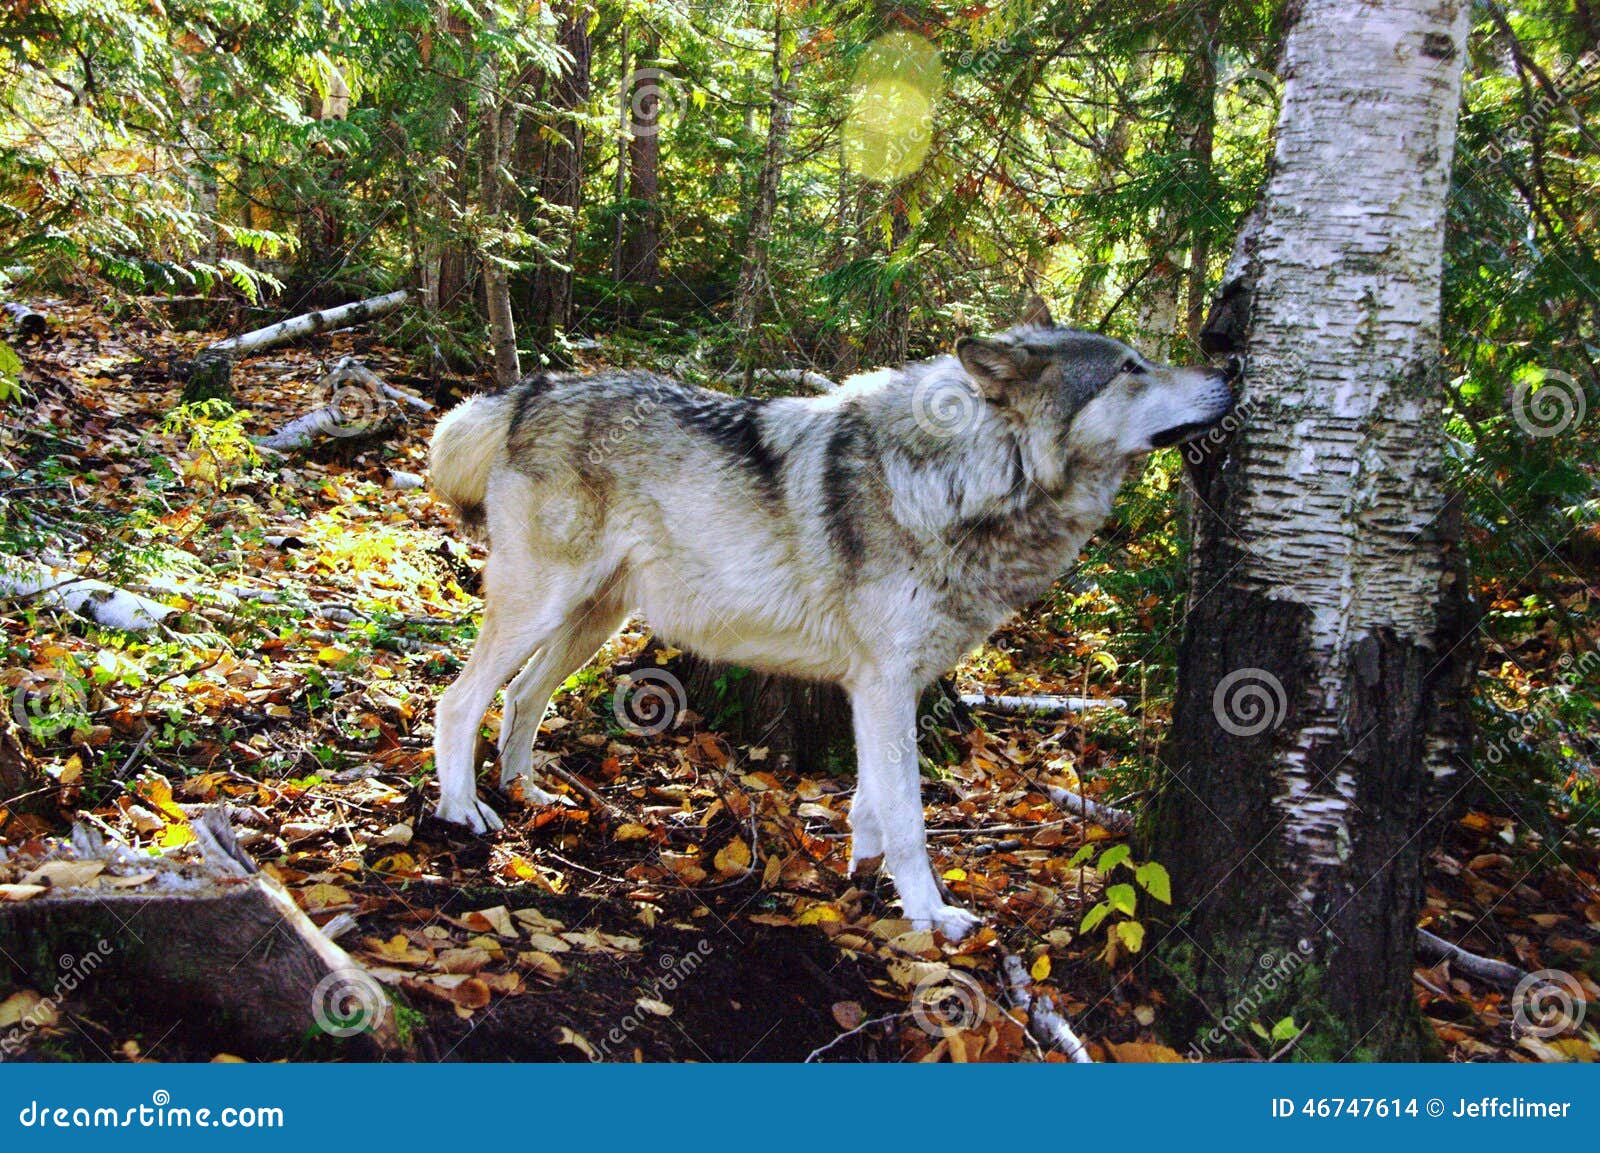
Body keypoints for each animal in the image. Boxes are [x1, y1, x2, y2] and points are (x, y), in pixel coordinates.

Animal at [427, 303, 1234, 939]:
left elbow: (873, 802)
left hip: (589, 621)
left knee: (521, 696)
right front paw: (931, 914)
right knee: (459, 701)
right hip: (544, 607)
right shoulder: (884, 684)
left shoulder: (881, 687)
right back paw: (465, 810)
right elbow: (909, 815)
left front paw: (860, 879)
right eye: (1131, 368)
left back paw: (528, 794)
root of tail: (532, 390)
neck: (964, 479)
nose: (1229, 370)